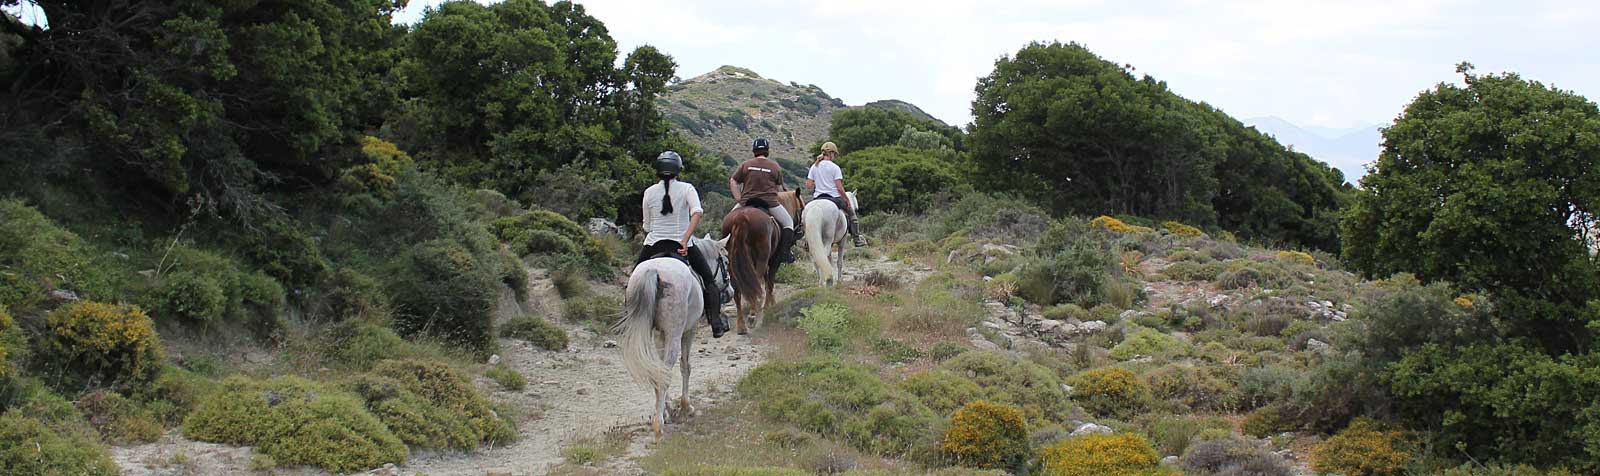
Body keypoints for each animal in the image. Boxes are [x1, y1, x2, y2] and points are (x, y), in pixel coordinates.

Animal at [615, 234, 729, 438]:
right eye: (725, 261)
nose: (731, 292)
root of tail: (653, 271)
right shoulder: (689, 331)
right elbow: (685, 366)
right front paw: (685, 406)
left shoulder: (660, 334)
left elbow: (659, 368)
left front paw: (668, 408)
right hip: (676, 334)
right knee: (669, 369)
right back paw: (659, 424)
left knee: (659, 370)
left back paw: (661, 417)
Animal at [720, 205, 779, 335]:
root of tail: (741, 217)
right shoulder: (773, 260)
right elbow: (769, 280)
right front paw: (769, 305)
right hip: (761, 257)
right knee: (756, 281)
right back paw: (752, 316)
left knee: (737, 290)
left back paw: (741, 326)